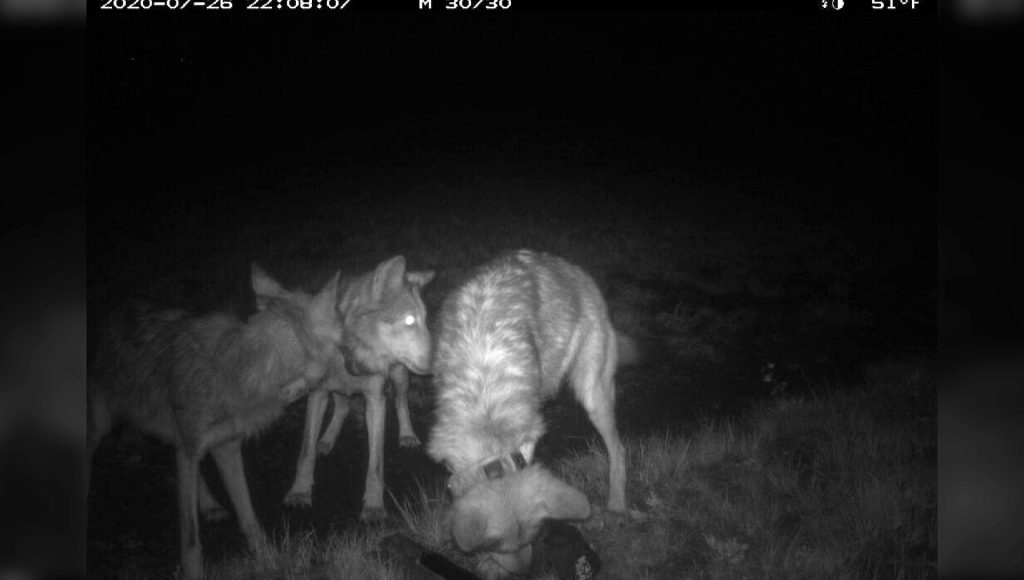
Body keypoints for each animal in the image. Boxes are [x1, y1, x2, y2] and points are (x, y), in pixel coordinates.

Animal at [87, 265, 343, 580]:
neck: (243, 375)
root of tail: (121, 304)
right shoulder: (195, 446)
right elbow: (191, 538)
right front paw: (194, 572)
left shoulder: (227, 447)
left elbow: (249, 517)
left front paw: (267, 558)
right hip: (101, 425)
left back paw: (209, 505)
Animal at [282, 255, 435, 522]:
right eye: (409, 320)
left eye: (424, 320)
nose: (439, 361)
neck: (353, 355)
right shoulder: (317, 393)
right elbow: (306, 452)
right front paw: (299, 492)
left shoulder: (376, 400)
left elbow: (375, 464)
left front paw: (373, 506)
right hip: (336, 390)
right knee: (342, 407)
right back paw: (327, 440)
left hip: (399, 376)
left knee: (401, 401)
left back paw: (407, 435)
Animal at [427, 249, 631, 579]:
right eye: (498, 546)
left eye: (531, 539)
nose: (524, 573)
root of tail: (569, 266)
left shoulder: (525, 442)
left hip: (592, 393)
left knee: (618, 448)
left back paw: (617, 504)